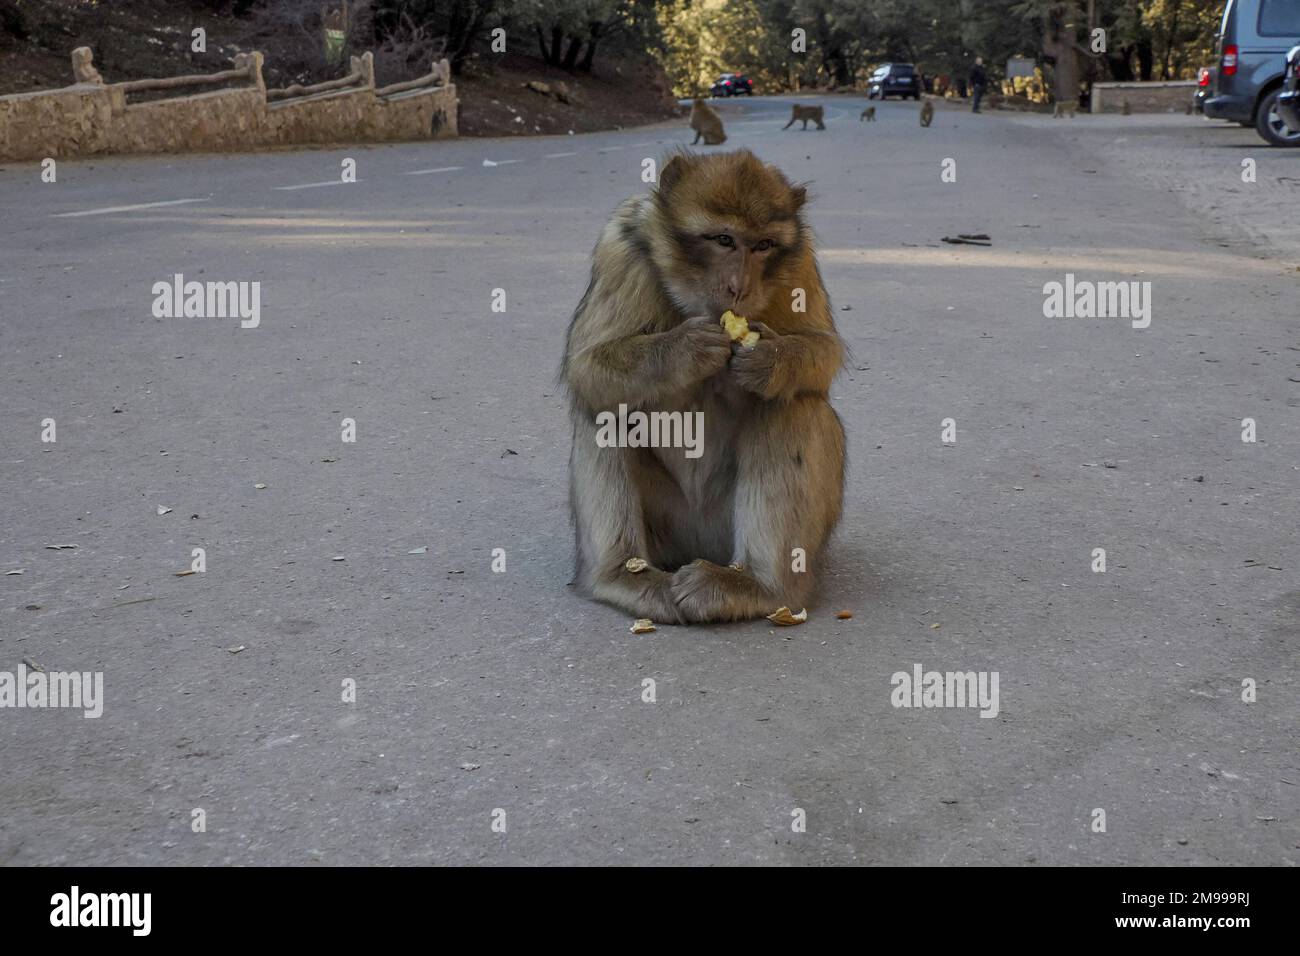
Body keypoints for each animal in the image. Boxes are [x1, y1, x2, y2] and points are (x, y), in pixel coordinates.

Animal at [560, 149, 846, 624]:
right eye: (724, 240)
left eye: (763, 245)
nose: (739, 287)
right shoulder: (621, 247)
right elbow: (586, 368)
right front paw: (685, 349)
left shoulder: (799, 257)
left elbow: (824, 352)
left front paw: (768, 359)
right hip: (671, 531)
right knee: (604, 410)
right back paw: (623, 575)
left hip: (723, 533)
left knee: (793, 405)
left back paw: (761, 586)